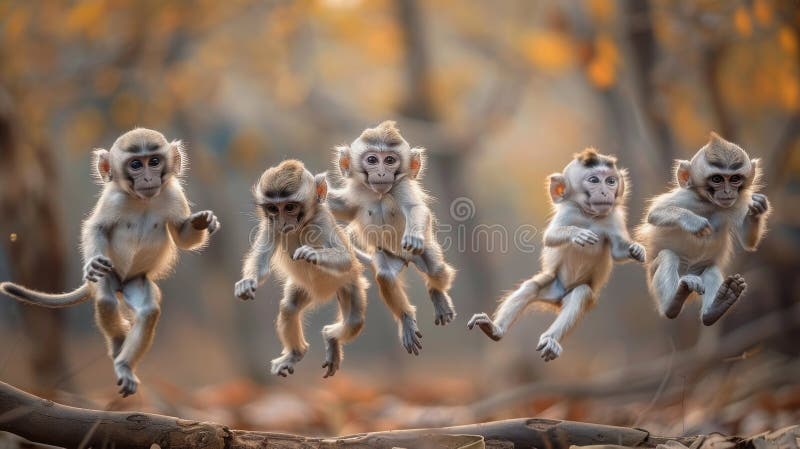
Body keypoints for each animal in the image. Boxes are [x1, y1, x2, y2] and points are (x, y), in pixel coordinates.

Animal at [0, 128, 219, 397]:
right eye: (136, 164)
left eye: (154, 161)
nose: (148, 178)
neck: (142, 200)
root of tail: (121, 284)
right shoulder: (113, 199)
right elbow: (96, 228)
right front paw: (93, 261)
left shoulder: (174, 195)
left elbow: (182, 236)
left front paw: (202, 221)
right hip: (108, 277)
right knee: (106, 299)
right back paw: (118, 344)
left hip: (136, 281)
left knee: (148, 311)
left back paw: (125, 362)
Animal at [234, 160, 368, 378]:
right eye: (273, 208)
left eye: (289, 207)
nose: (282, 222)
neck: (302, 225)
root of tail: (325, 294)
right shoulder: (270, 226)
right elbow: (261, 264)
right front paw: (247, 282)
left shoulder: (320, 222)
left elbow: (346, 259)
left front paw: (312, 254)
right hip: (305, 288)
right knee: (290, 307)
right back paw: (296, 353)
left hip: (349, 283)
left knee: (354, 321)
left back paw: (331, 336)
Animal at [326, 120, 456, 356]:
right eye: (372, 160)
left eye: (389, 160)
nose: (380, 173)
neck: (378, 194)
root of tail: (406, 260)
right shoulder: (357, 192)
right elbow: (339, 207)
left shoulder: (402, 186)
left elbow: (415, 209)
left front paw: (413, 235)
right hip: (387, 255)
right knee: (386, 275)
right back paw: (406, 318)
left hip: (425, 252)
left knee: (436, 270)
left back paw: (437, 293)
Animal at [467, 148, 644, 361]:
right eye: (594, 180)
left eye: (611, 181)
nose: (605, 192)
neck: (589, 215)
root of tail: (558, 300)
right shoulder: (568, 212)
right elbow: (550, 237)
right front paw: (577, 234)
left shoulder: (613, 218)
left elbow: (617, 252)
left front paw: (636, 249)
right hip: (553, 284)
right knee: (531, 287)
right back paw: (494, 329)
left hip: (575, 295)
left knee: (580, 294)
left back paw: (550, 340)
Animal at [635, 133, 770, 326]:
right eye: (717, 179)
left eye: (735, 179)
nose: (728, 192)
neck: (709, 203)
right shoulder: (686, 196)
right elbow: (654, 213)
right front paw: (694, 222)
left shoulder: (739, 202)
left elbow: (748, 242)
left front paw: (758, 210)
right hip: (654, 275)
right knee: (668, 256)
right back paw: (673, 304)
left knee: (711, 269)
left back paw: (716, 307)